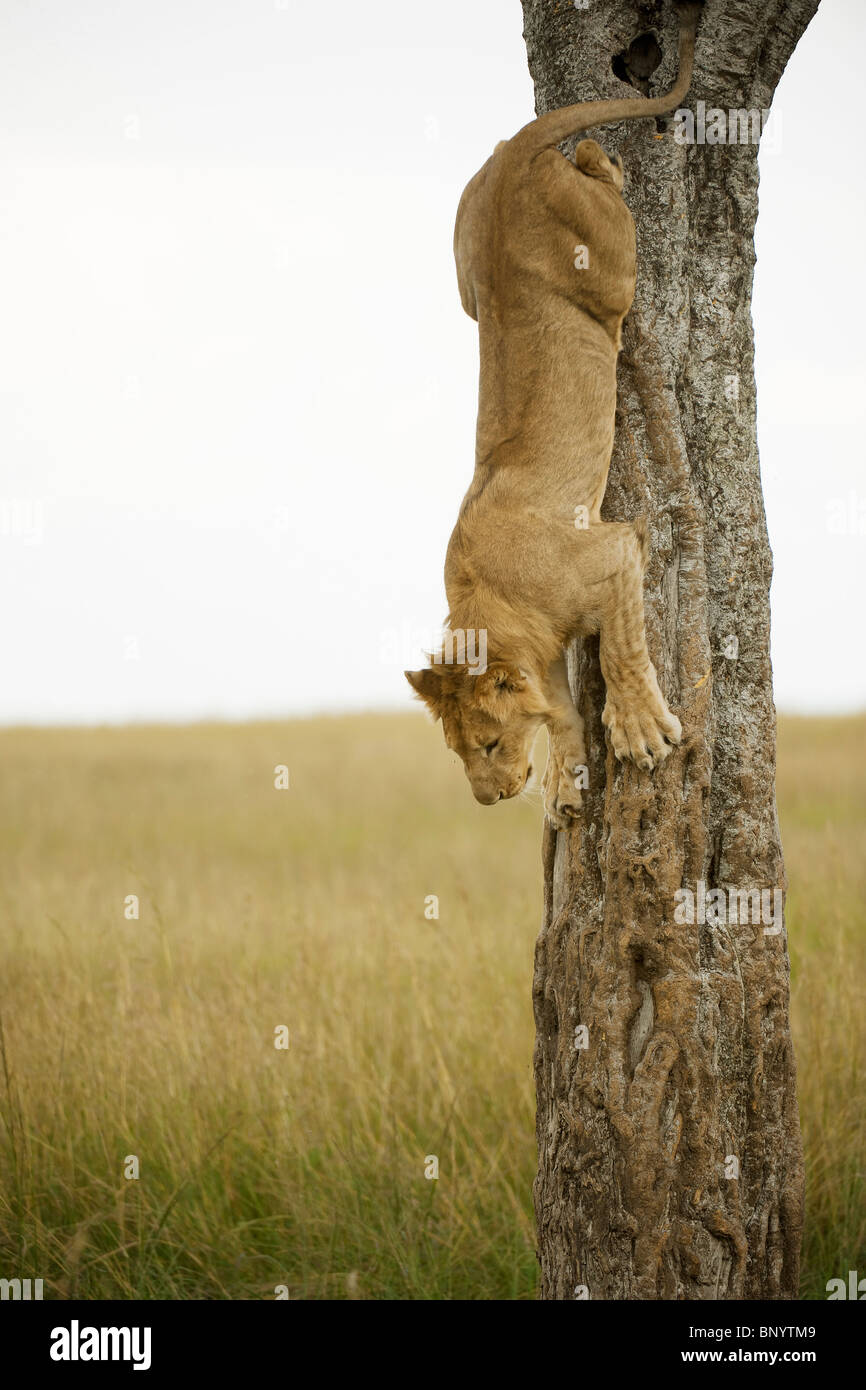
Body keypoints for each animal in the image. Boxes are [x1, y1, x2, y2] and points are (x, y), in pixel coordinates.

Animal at [406, 3, 702, 829]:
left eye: (487, 743)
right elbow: (563, 707)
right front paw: (569, 777)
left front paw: (640, 732)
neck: (491, 599)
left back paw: (608, 157)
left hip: (612, 271)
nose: (488, 797)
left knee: (601, 166)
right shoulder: (546, 646)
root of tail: (513, 155)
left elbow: (622, 651)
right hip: (464, 265)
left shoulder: (614, 552)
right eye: (460, 751)